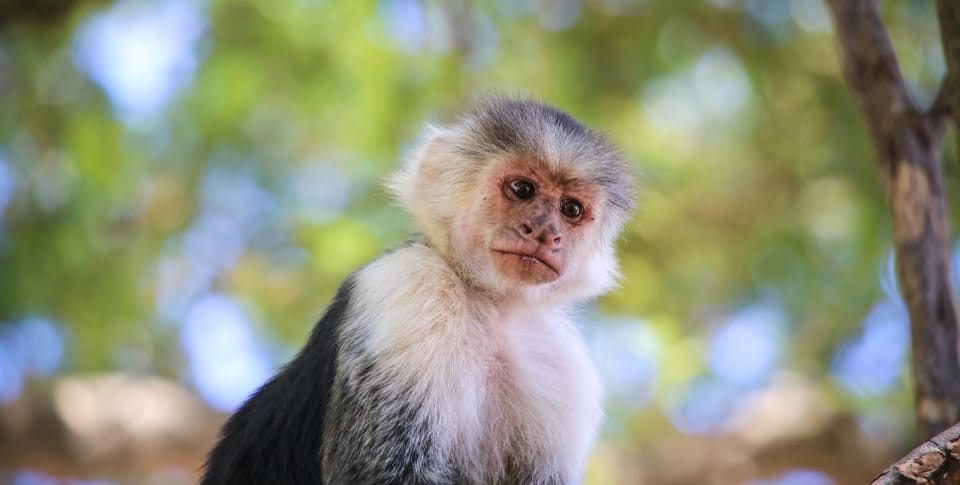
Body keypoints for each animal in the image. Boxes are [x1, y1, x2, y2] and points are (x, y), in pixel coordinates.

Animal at [200, 96, 636, 485]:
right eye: (522, 189)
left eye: (571, 210)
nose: (546, 232)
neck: (491, 305)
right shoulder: (409, 287)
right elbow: (383, 474)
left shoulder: (561, 363)